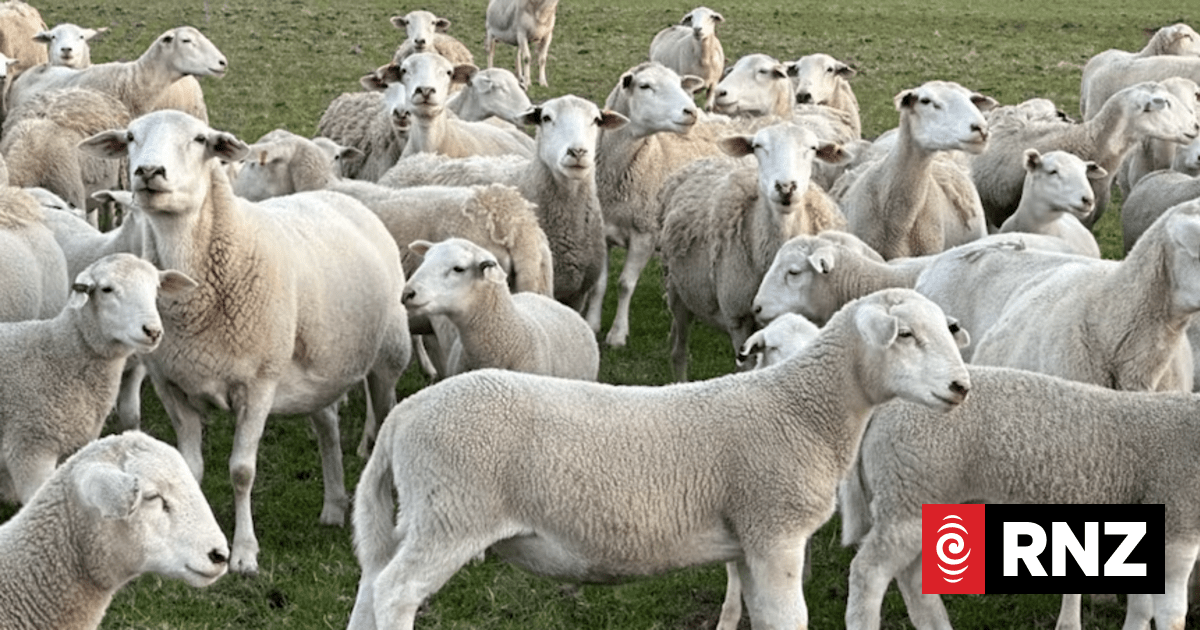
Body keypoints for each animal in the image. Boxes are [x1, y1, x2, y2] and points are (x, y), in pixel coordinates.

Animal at [79, 110, 414, 575]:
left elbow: (241, 471)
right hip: (320, 369)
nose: (148, 172)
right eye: (130, 137)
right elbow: (191, 468)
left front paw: (244, 553)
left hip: (386, 358)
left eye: (200, 139)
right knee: (327, 426)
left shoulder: (258, 386)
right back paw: (333, 505)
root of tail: (338, 196)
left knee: (383, 418)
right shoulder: (172, 385)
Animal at [346, 288, 972, 630]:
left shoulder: (749, 540)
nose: (961, 387)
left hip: (422, 517)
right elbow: (790, 619)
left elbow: (763, 616)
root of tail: (405, 415)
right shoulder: (774, 528)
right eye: (906, 335)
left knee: (370, 589)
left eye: (946, 330)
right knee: (394, 593)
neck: (801, 409)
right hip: (452, 514)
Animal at [659, 121, 850, 381]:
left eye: (812, 148)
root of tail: (706, 161)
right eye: (758, 146)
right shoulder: (738, 318)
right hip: (677, 289)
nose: (786, 187)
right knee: (678, 351)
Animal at [841, 365, 1200, 630]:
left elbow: (1141, 606)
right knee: (869, 574)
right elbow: (1171, 614)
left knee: (914, 582)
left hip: (926, 495)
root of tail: (884, 408)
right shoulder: (1177, 515)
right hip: (911, 487)